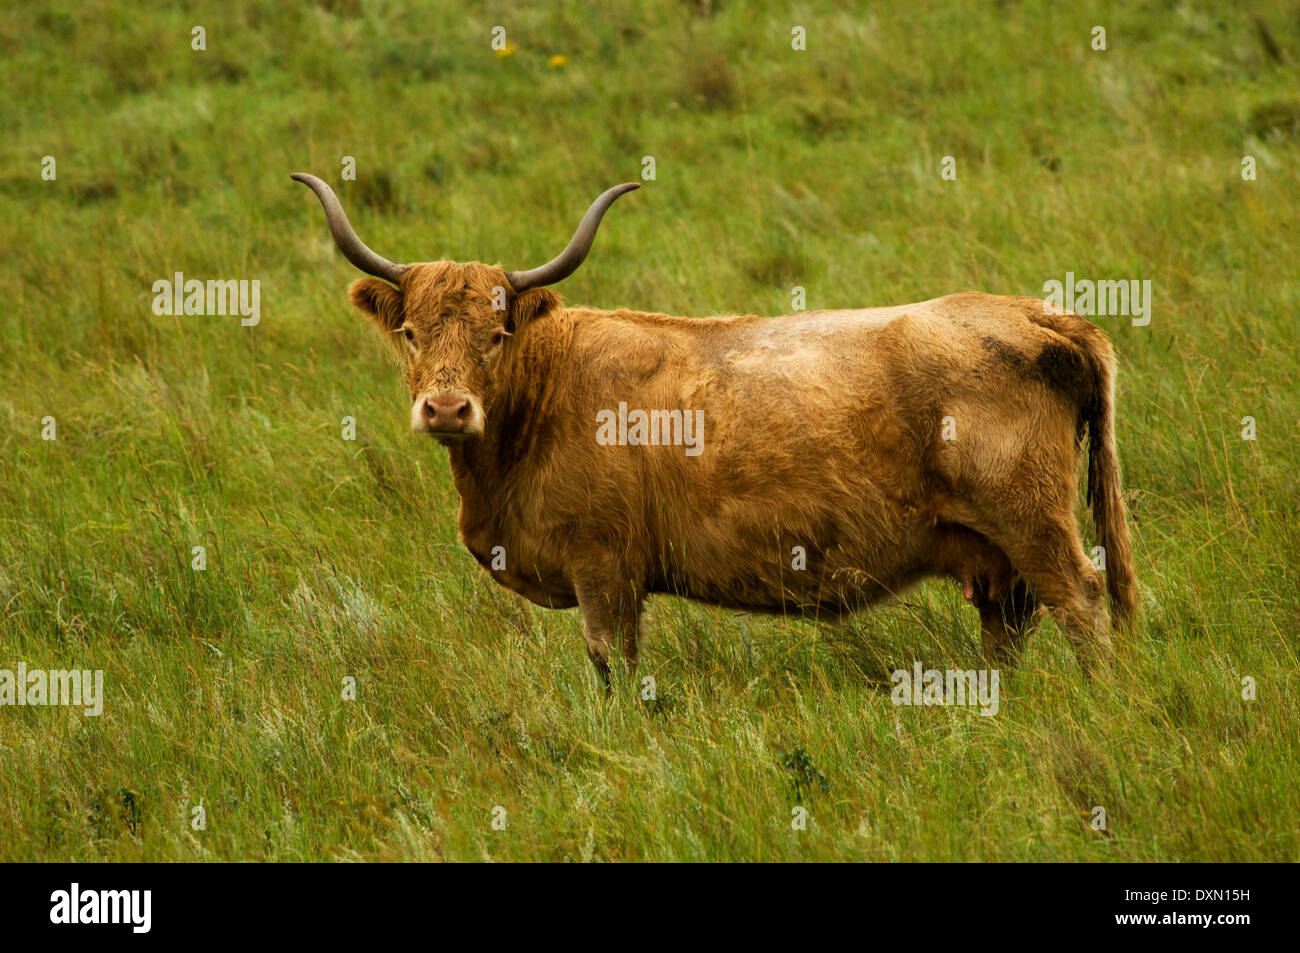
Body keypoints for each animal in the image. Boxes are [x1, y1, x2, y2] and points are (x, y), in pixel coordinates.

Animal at [292, 173, 1137, 683]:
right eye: (411, 333)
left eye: (496, 335)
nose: (446, 409)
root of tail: (1032, 312)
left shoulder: (602, 568)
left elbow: (612, 668)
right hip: (993, 554)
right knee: (1009, 630)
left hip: (1031, 521)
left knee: (1083, 599)